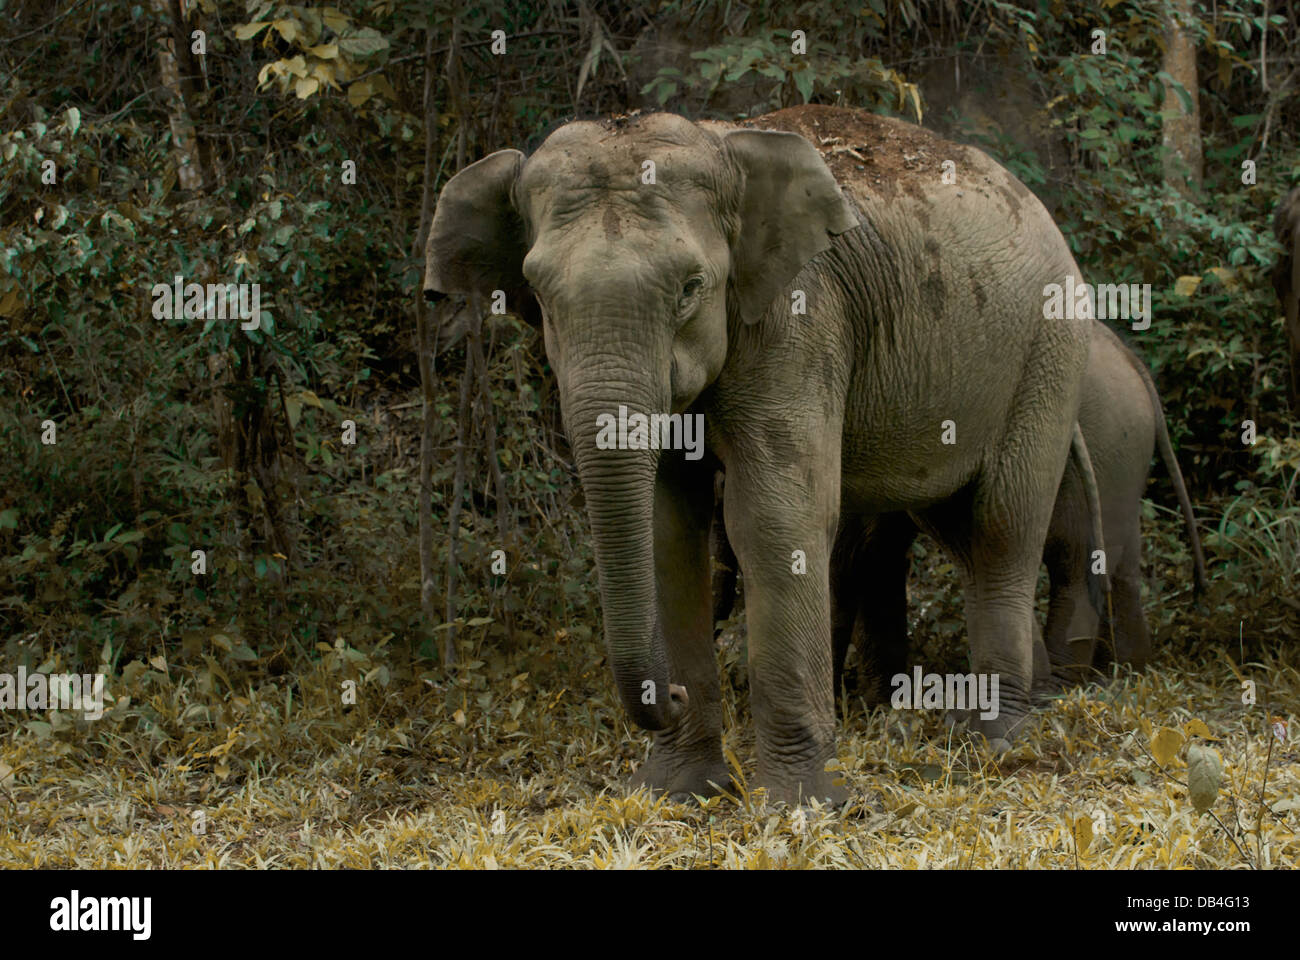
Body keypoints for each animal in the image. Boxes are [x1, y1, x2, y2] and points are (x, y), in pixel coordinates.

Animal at [423, 104, 1097, 805]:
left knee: (1003, 528)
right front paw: (677, 792)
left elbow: (773, 522)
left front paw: (802, 804)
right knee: (957, 532)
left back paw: (997, 743)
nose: (670, 691)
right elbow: (670, 533)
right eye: (538, 292)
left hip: (1049, 355)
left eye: (691, 286)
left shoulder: (801, 322)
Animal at [820, 321, 1209, 705]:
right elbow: (869, 555)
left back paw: (1059, 691)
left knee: (1073, 557)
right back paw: (1125, 676)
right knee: (1120, 563)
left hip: (1101, 445)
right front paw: (877, 706)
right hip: (1122, 459)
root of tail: (1130, 358)